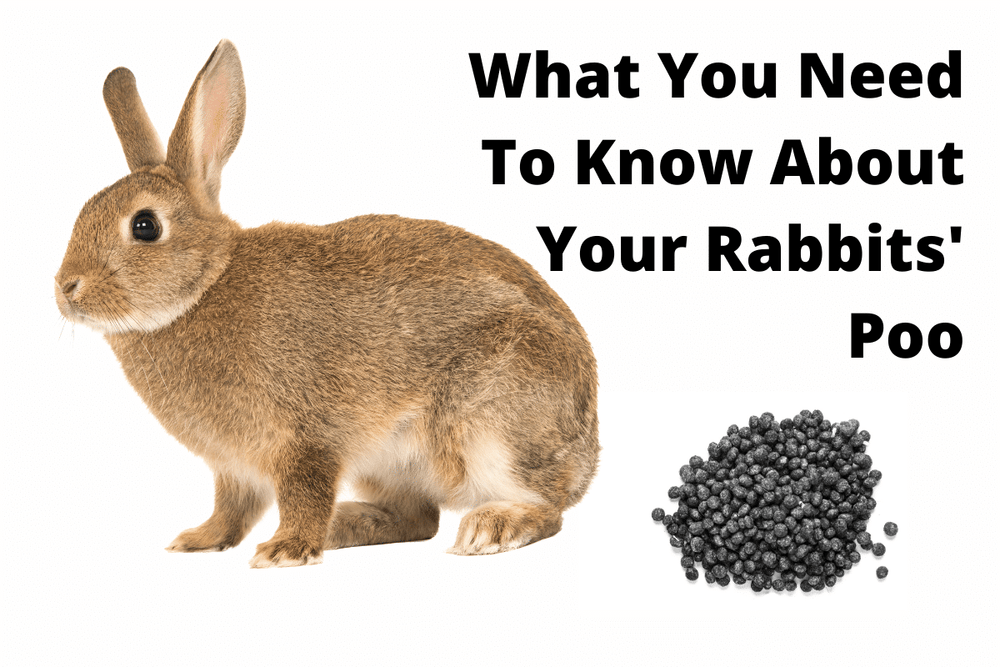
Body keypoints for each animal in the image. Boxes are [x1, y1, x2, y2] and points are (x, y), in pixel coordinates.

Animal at [54, 40, 599, 568]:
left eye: (144, 226)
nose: (65, 286)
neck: (205, 287)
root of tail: (588, 449)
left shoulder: (305, 439)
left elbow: (303, 492)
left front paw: (286, 551)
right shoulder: (233, 468)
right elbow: (231, 509)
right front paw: (199, 540)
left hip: (493, 426)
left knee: (545, 508)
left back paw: (489, 528)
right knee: (418, 519)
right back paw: (346, 525)